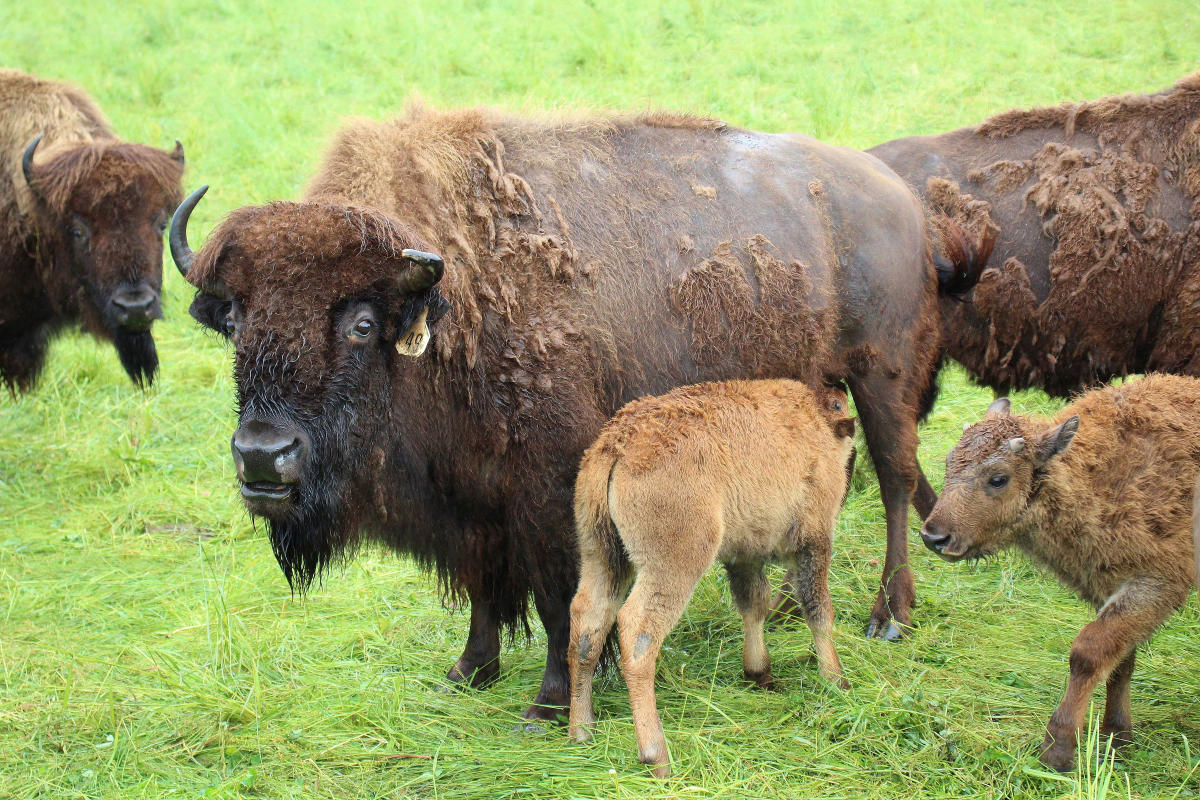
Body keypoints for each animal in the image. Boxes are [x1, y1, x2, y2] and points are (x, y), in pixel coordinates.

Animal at [170, 106, 986, 720]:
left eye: (362, 324)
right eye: (235, 320)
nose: (262, 456)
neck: (446, 299)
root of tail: (909, 204)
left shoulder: (551, 488)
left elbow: (561, 594)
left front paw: (548, 703)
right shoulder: (474, 499)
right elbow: (484, 585)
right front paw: (469, 671)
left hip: (882, 380)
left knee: (893, 481)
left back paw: (890, 616)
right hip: (818, 386)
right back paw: (789, 605)